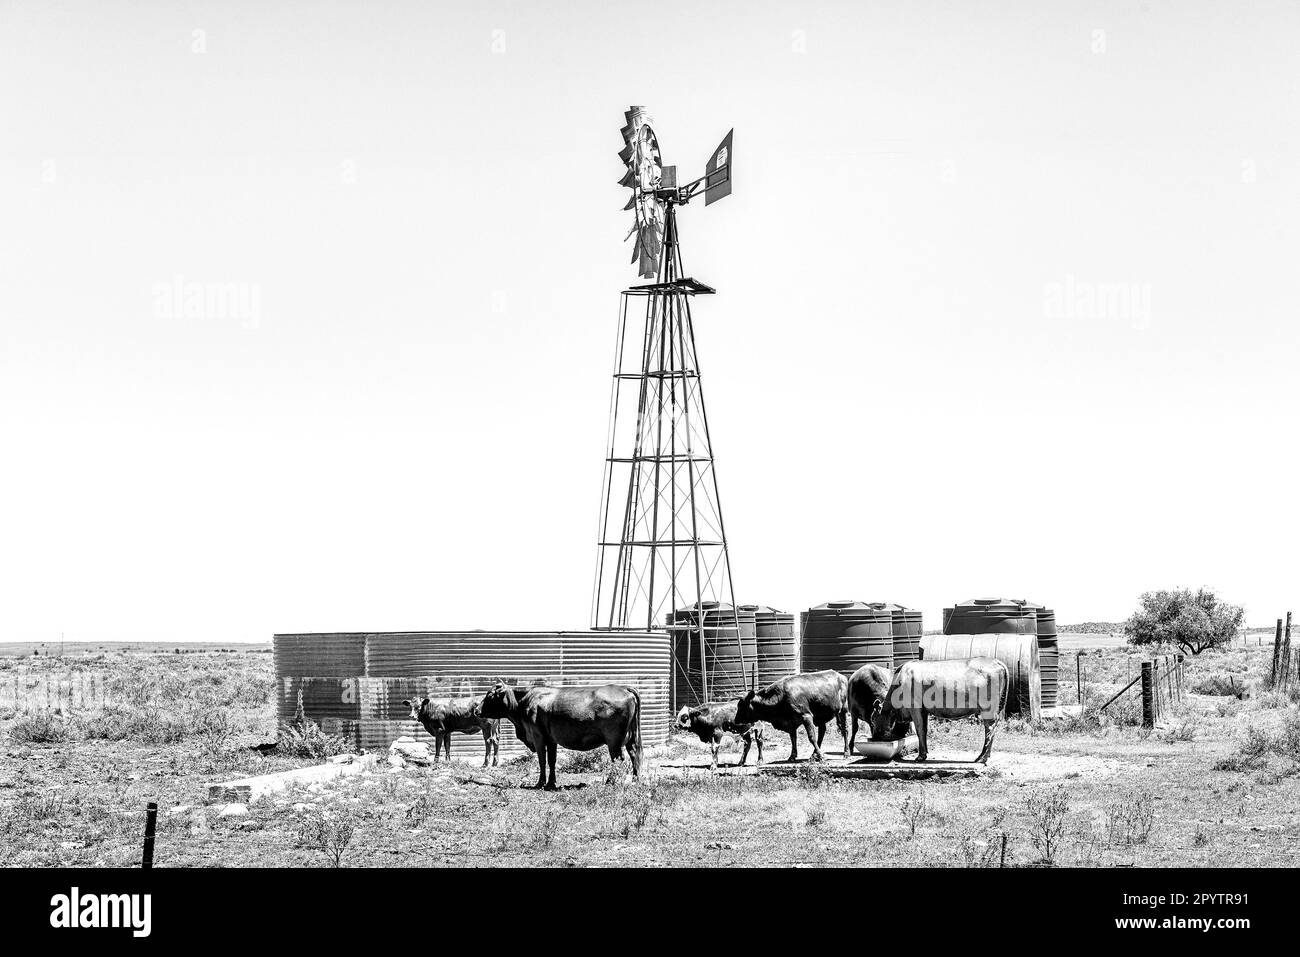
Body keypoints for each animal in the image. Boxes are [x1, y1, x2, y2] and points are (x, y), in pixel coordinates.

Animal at [480, 681, 642, 790]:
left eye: (489, 695)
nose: (476, 710)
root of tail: (624, 687)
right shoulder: (551, 740)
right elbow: (552, 761)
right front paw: (551, 783)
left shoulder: (538, 737)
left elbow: (542, 761)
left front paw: (540, 783)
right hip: (630, 736)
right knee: (634, 754)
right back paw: (635, 780)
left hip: (614, 740)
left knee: (618, 759)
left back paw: (610, 782)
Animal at [855, 658, 1009, 764]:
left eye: (873, 720)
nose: (874, 738)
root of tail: (995, 661)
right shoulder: (924, 710)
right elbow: (924, 729)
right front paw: (925, 753)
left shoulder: (915, 707)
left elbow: (920, 730)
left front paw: (920, 756)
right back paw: (984, 756)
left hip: (987, 708)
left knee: (990, 728)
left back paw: (982, 757)